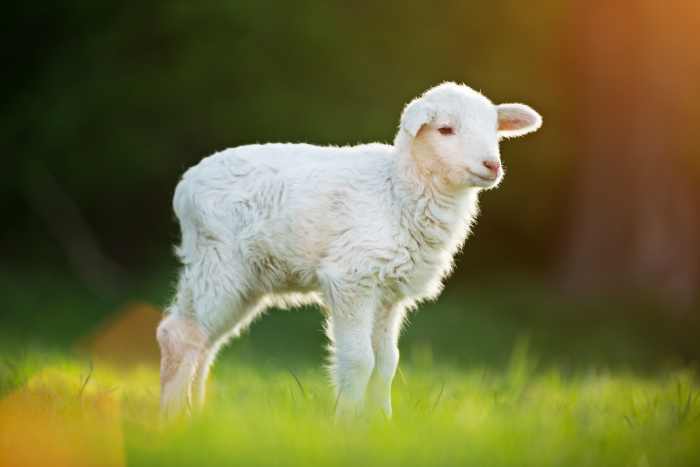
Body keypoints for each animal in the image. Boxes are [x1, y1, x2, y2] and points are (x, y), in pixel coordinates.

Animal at [157, 82, 542, 420]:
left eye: (494, 129)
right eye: (445, 129)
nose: (491, 165)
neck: (397, 189)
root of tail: (185, 187)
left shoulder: (389, 293)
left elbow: (386, 362)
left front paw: (383, 423)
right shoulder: (352, 278)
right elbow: (360, 360)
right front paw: (347, 424)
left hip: (243, 278)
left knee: (204, 341)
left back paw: (198, 415)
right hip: (219, 261)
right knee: (180, 336)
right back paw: (173, 420)